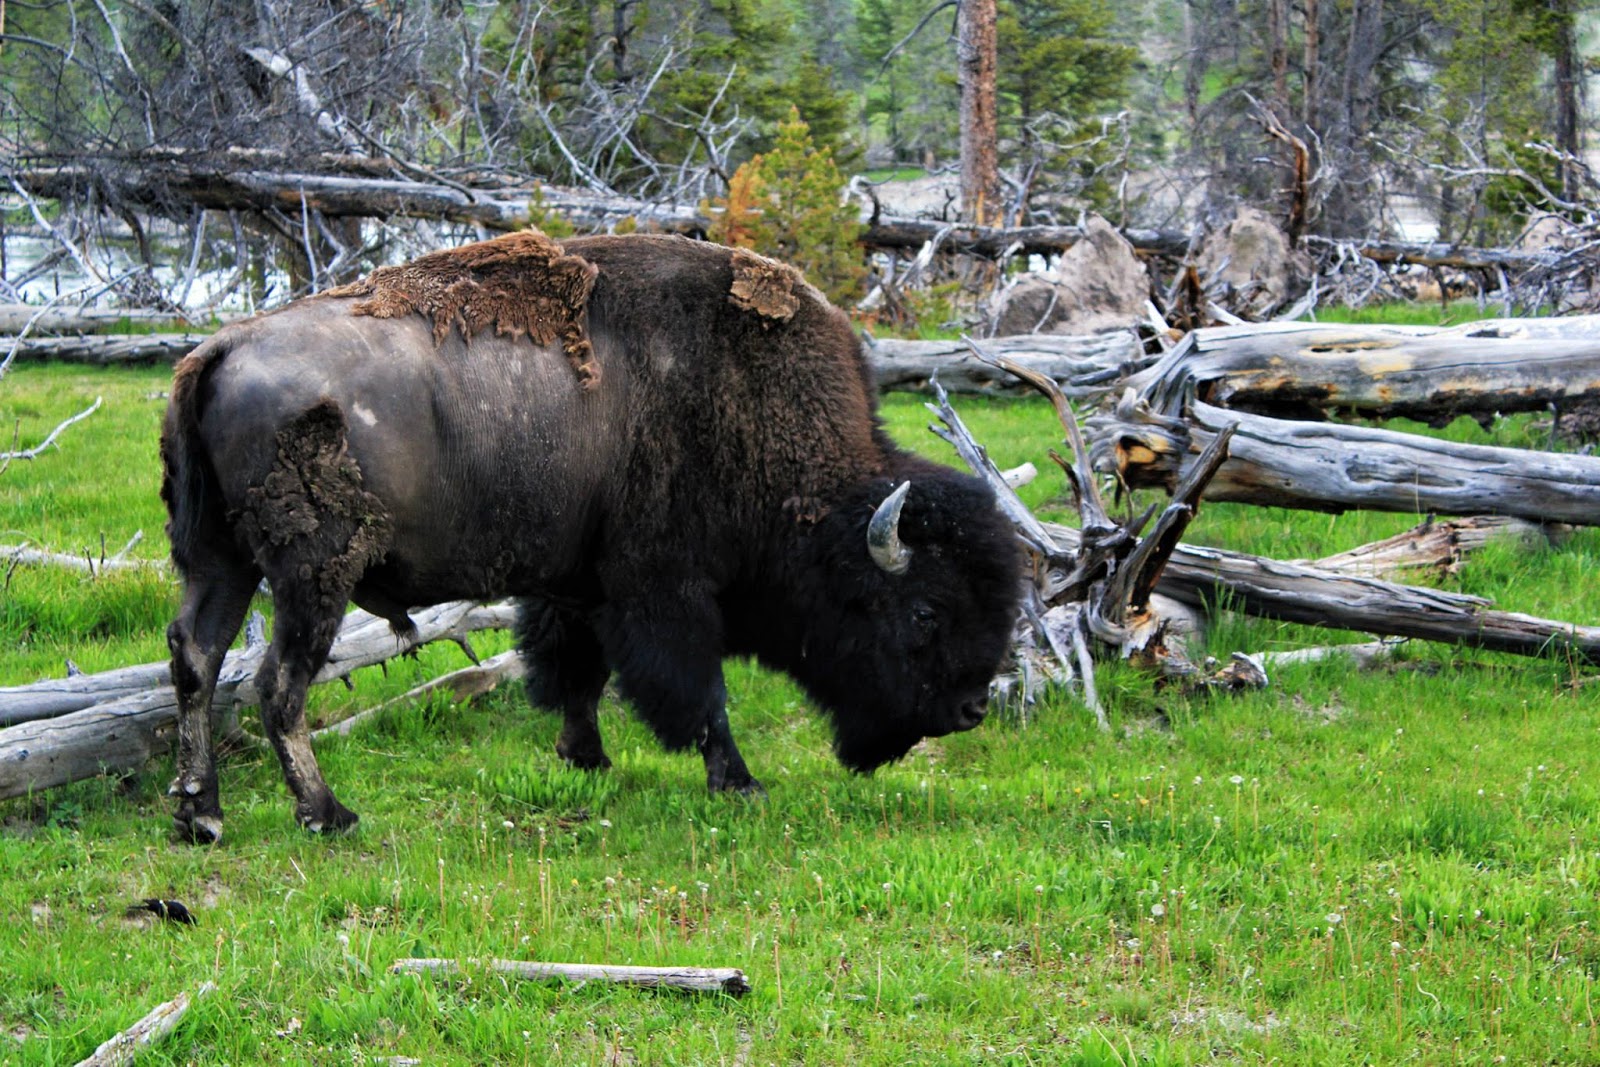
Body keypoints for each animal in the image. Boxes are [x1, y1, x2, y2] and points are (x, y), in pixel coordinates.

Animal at [161, 231, 1021, 842]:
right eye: (924, 611)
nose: (971, 707)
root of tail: (218, 349)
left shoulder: (577, 585)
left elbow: (576, 671)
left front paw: (588, 758)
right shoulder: (665, 592)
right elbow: (698, 691)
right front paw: (739, 781)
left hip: (220, 560)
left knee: (196, 654)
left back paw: (202, 814)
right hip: (313, 572)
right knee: (279, 682)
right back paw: (327, 812)